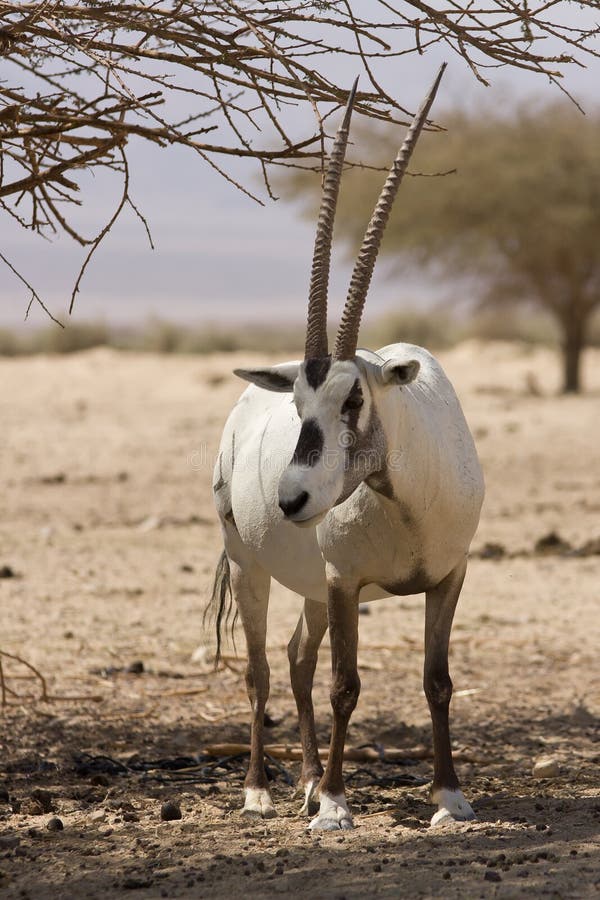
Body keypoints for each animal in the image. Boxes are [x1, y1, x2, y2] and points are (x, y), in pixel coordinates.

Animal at [209, 65, 484, 830]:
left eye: (353, 400)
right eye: (299, 407)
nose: (291, 498)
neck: (407, 502)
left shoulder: (449, 575)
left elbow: (437, 679)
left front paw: (449, 796)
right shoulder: (344, 582)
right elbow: (345, 684)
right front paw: (334, 804)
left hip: (306, 584)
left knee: (296, 658)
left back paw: (302, 778)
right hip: (250, 564)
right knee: (262, 669)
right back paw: (262, 790)